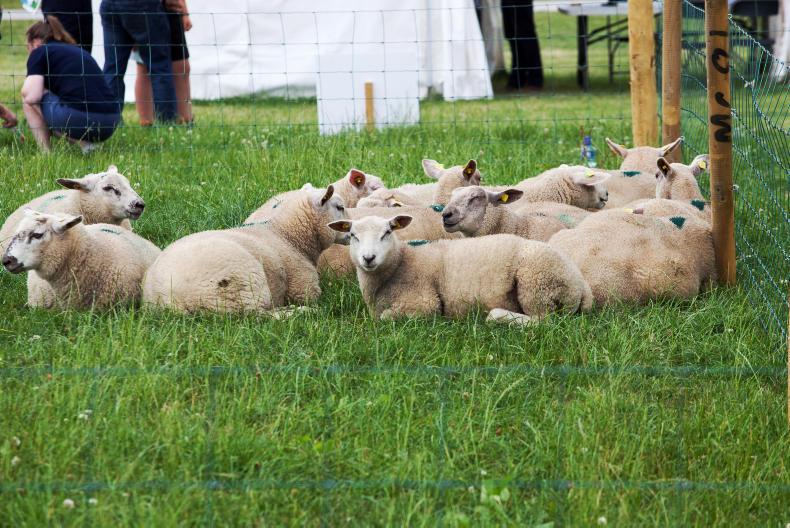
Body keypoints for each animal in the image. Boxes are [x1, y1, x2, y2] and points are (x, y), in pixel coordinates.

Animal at [143, 186, 348, 313]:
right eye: (340, 207)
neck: (287, 235)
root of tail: (169, 298)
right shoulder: (303, 287)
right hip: (242, 285)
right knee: (257, 316)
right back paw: (301, 312)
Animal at [328, 215, 592, 325]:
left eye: (387, 232)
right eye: (353, 235)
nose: (368, 258)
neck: (402, 264)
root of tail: (581, 284)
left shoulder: (424, 303)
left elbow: (386, 318)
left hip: (537, 284)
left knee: (543, 323)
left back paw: (496, 317)